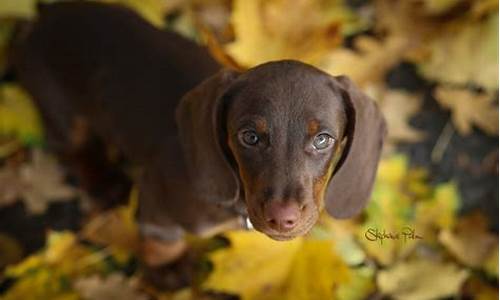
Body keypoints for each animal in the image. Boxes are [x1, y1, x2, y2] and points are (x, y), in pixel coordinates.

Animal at [12, 1, 386, 248]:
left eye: (323, 139)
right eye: (249, 137)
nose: (284, 218)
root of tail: (40, 20)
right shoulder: (156, 203)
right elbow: (163, 244)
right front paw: (169, 276)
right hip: (57, 104)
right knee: (72, 148)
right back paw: (105, 183)